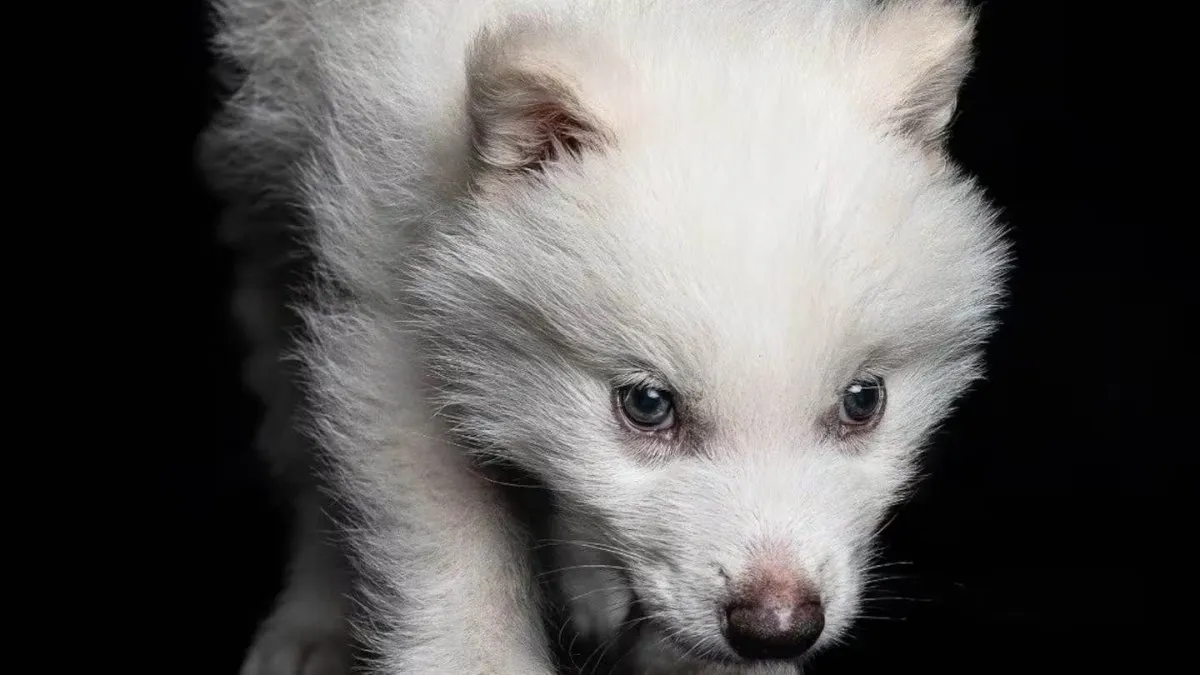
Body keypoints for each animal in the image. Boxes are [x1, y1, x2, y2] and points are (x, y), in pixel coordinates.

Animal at [200, 0, 1009, 673]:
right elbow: (447, 539)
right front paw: (474, 654)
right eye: (647, 405)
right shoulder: (384, 311)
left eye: (863, 402)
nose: (777, 629)